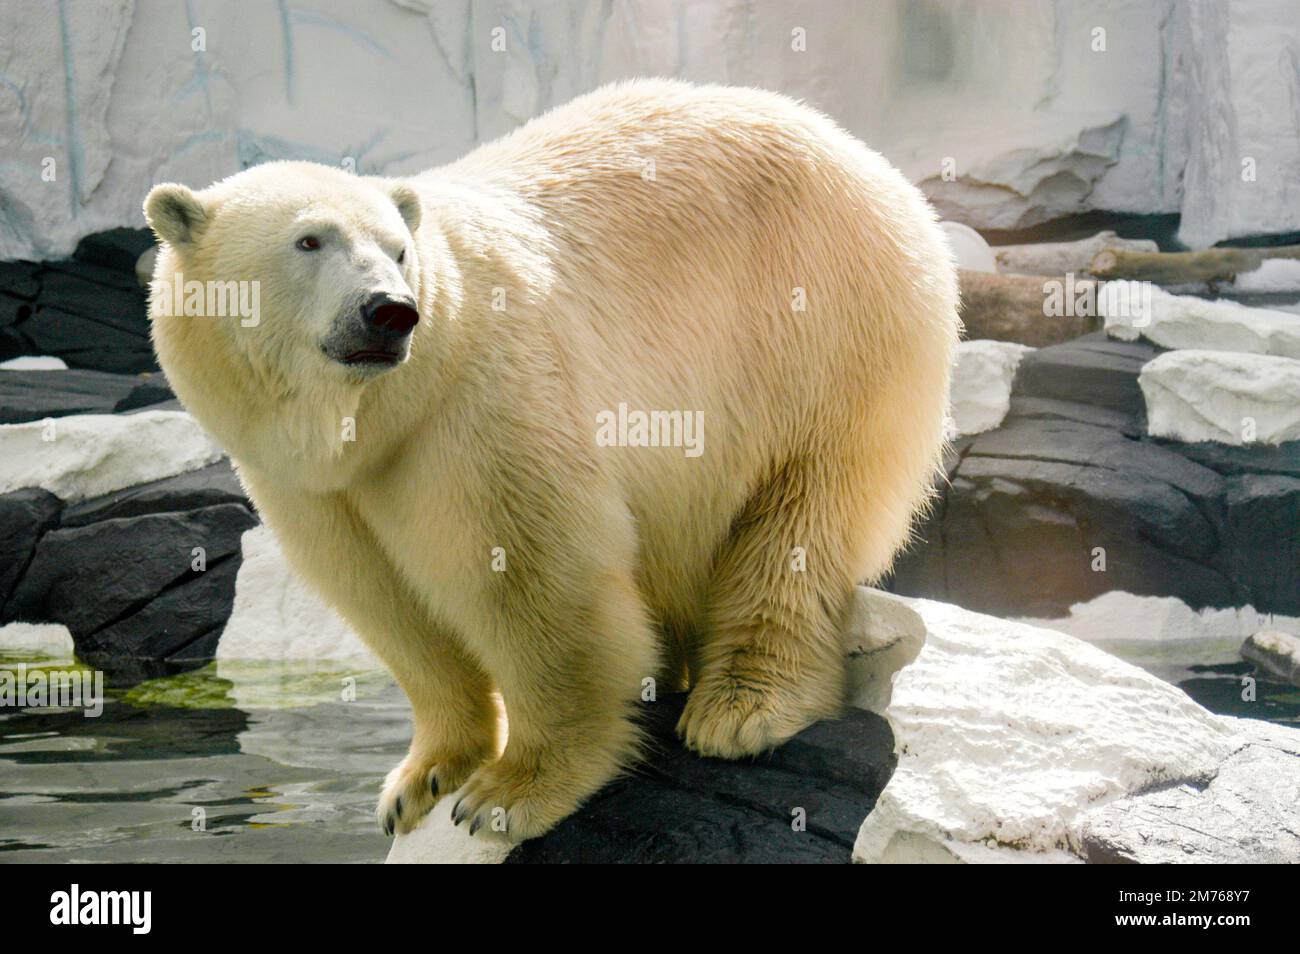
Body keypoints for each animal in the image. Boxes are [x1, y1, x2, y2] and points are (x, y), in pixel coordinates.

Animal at [143, 79, 959, 841]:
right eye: (309, 241)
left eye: (398, 250)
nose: (390, 310)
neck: (377, 417)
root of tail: (872, 165)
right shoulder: (308, 482)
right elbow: (385, 599)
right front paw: (418, 783)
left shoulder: (478, 398)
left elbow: (534, 575)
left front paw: (506, 795)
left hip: (821, 327)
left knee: (801, 514)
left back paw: (741, 705)